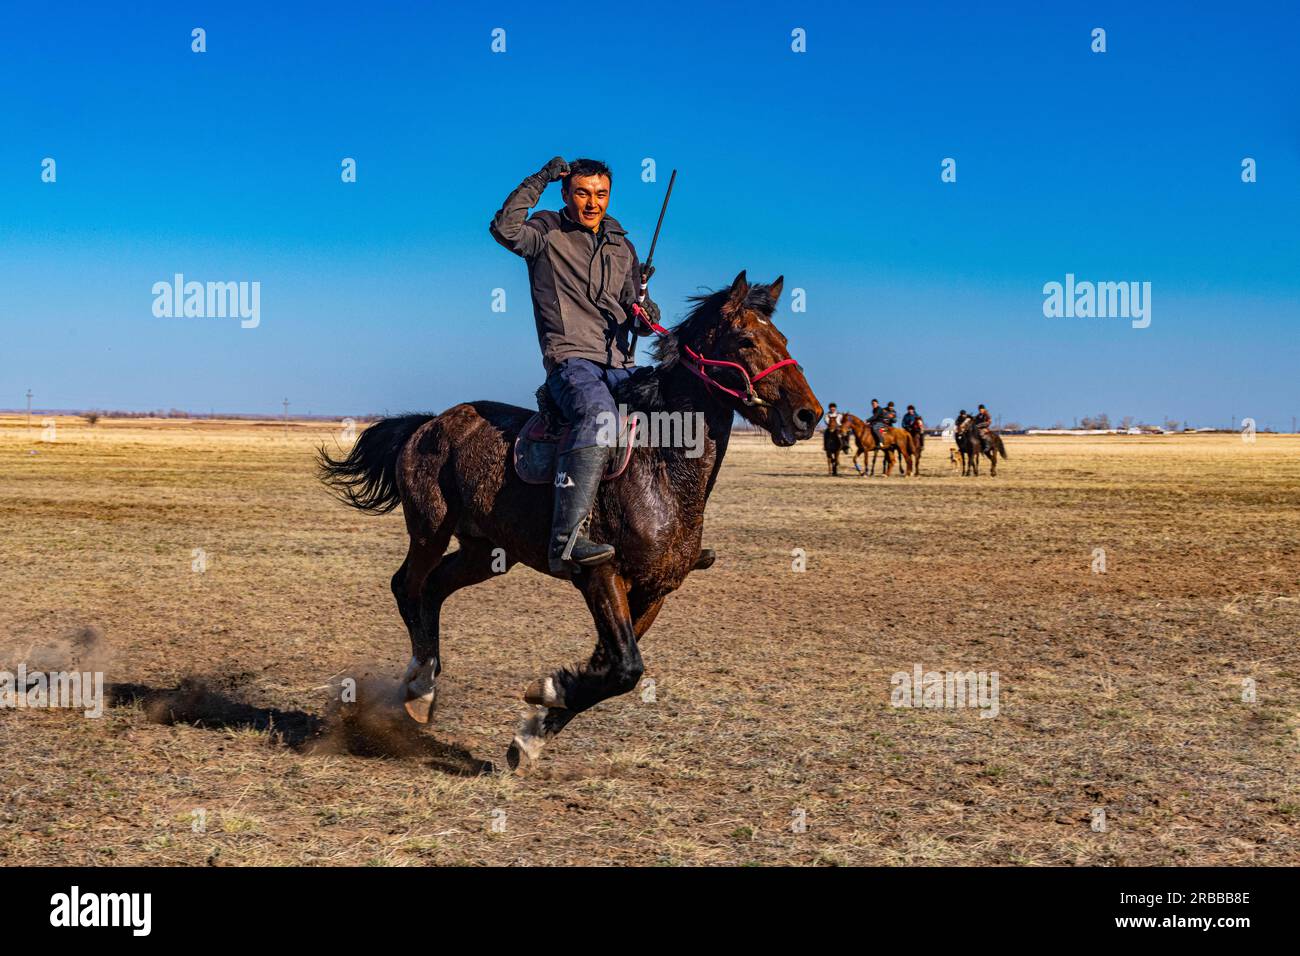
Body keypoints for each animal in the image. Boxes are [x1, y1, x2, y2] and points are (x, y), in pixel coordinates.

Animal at [317, 272, 821, 772]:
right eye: (745, 340)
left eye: (783, 338)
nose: (809, 414)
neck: (661, 467)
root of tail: (429, 424)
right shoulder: (602, 573)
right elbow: (625, 668)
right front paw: (547, 696)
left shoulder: (656, 590)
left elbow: (609, 666)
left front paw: (534, 732)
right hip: (430, 530)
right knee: (407, 585)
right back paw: (420, 686)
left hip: (488, 553)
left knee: (434, 588)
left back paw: (426, 684)